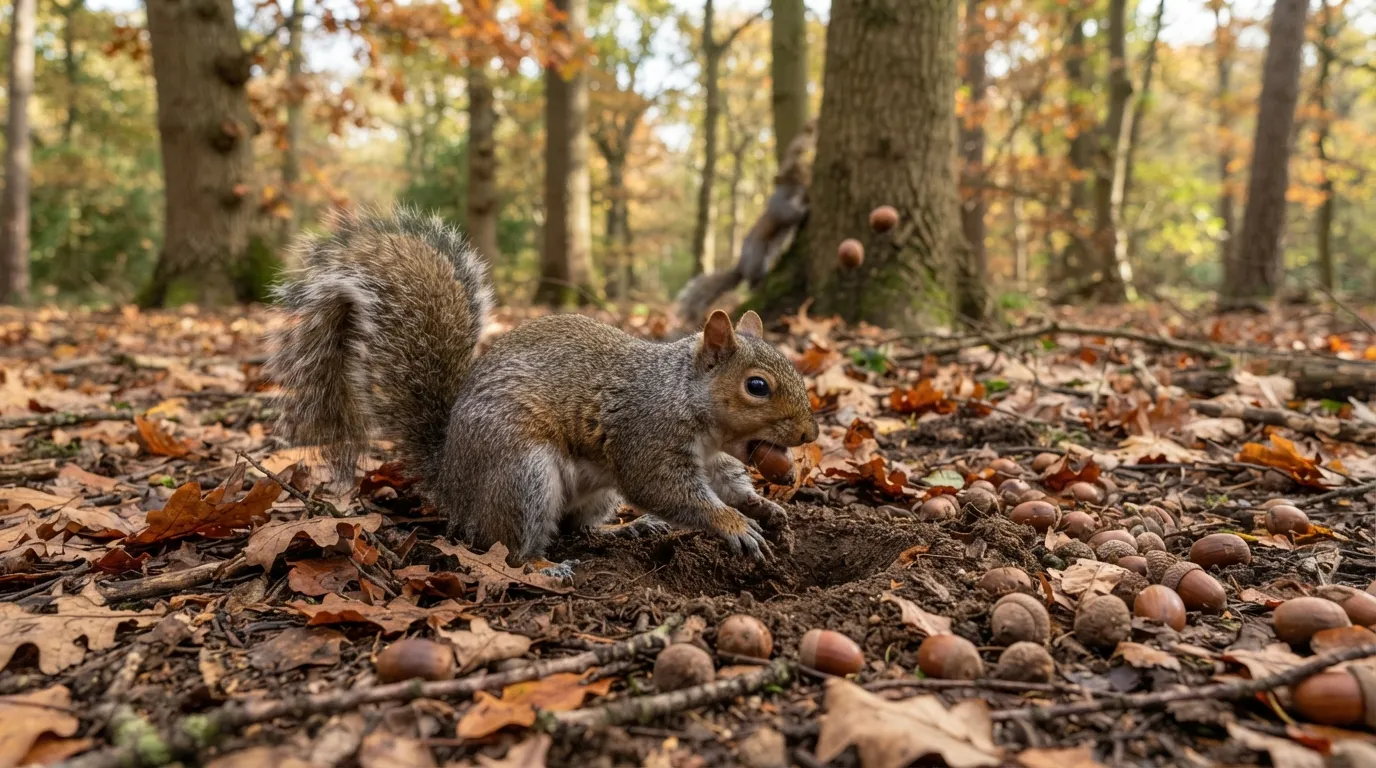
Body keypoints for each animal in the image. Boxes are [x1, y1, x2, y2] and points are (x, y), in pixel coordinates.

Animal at [267, 205, 819, 566]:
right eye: (757, 386)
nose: (811, 435)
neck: (684, 395)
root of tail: (452, 482)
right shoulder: (647, 436)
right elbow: (667, 490)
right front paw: (733, 524)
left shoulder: (713, 458)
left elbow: (729, 482)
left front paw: (764, 506)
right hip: (523, 474)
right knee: (510, 547)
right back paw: (544, 566)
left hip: (594, 492)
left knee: (580, 527)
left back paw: (630, 528)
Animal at [676, 119, 817, 327]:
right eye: (793, 169)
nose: (806, 157)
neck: (793, 187)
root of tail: (741, 267)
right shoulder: (780, 205)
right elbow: (789, 214)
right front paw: (806, 210)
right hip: (758, 256)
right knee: (753, 279)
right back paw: (759, 283)